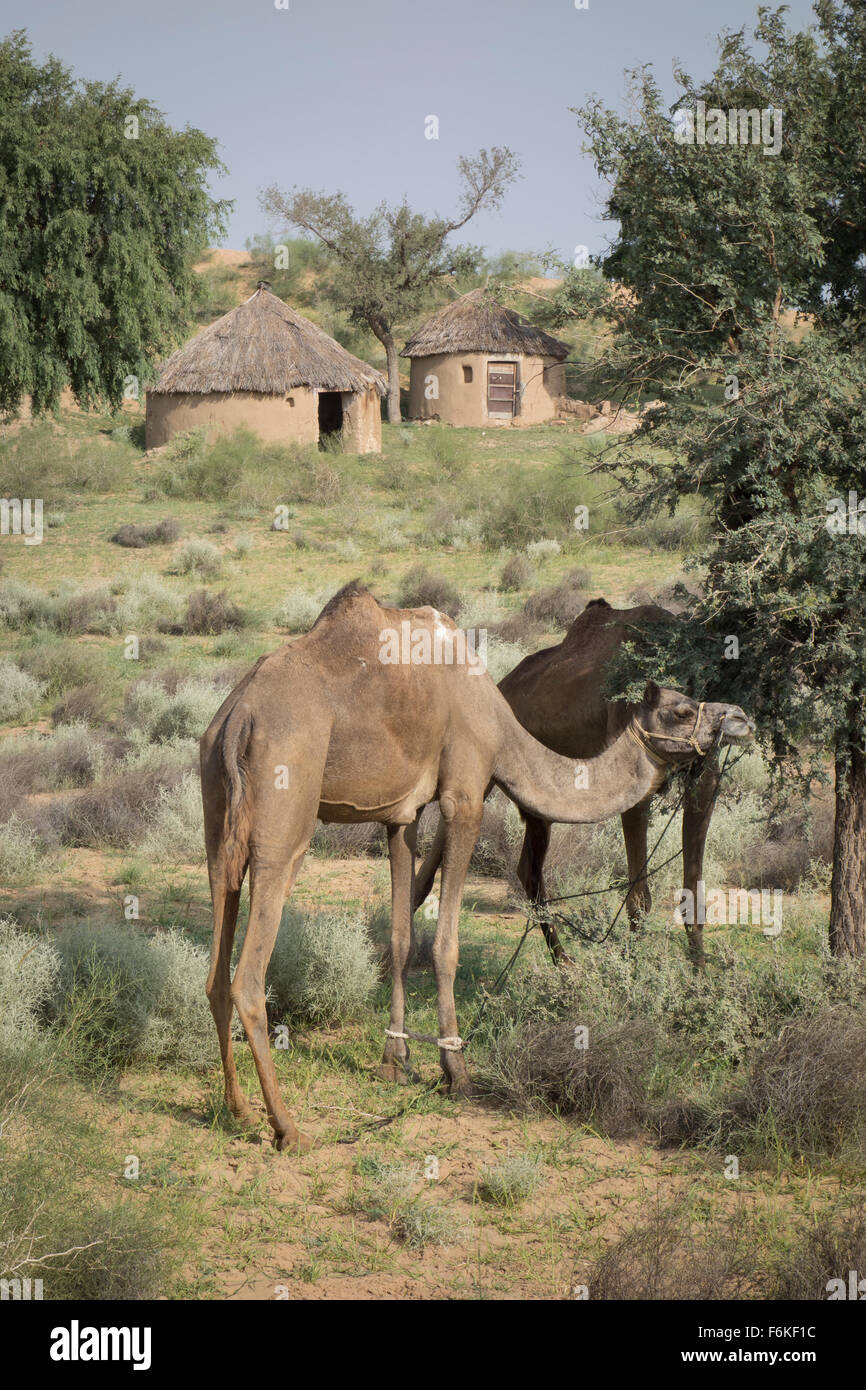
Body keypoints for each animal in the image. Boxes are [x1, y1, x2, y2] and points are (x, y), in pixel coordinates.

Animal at [200, 583, 753, 1152]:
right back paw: (286, 1126)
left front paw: (395, 1060)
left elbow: (402, 935)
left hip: (216, 812)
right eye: (681, 711)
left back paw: (238, 1109)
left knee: (216, 961)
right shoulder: (465, 796)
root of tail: (238, 717)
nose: (739, 717)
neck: (501, 722)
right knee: (248, 975)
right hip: (285, 808)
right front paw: (455, 1070)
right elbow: (445, 945)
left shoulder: (401, 814)